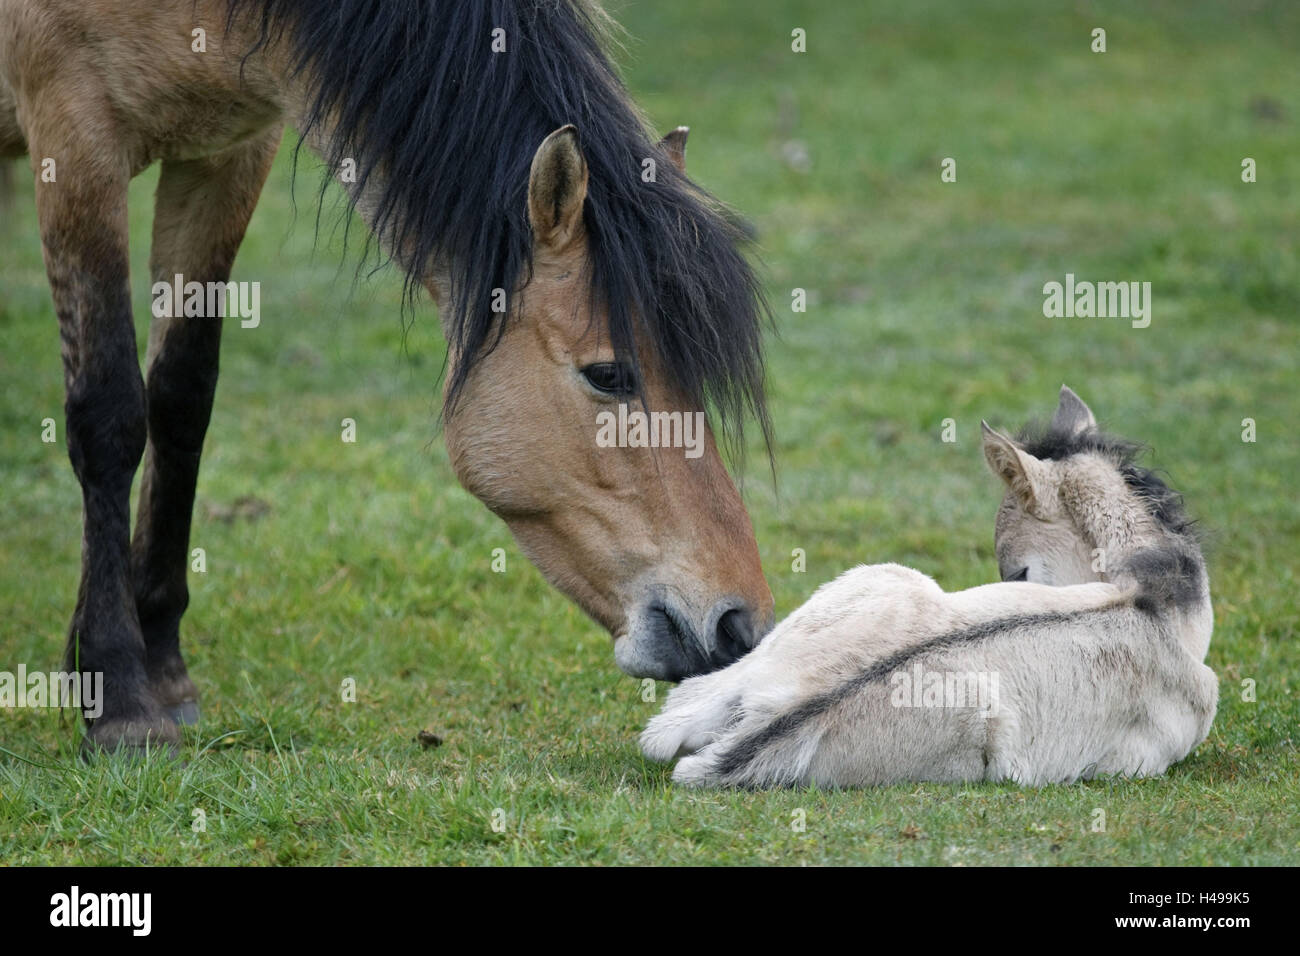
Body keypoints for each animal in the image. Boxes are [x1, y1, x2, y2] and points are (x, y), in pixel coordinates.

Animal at [0, 0, 776, 753]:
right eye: (609, 373)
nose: (740, 626)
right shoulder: (75, 141)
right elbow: (108, 415)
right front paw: (120, 697)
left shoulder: (226, 155)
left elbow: (181, 399)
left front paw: (162, 667)